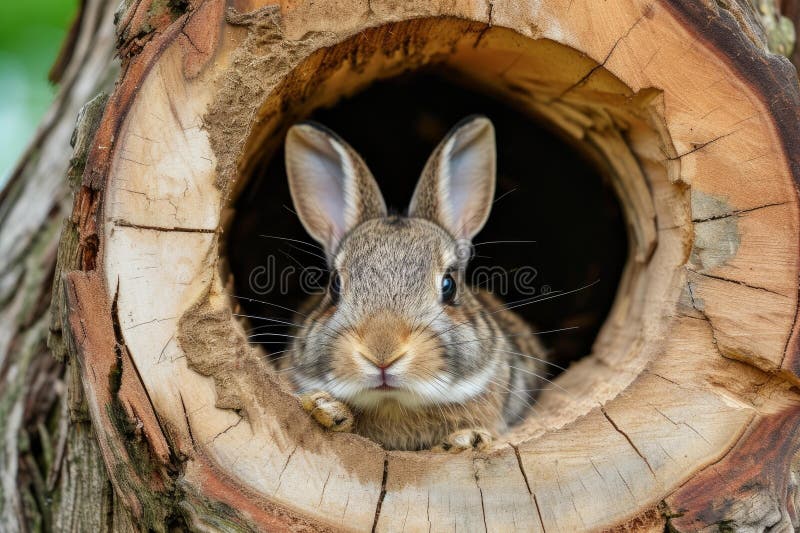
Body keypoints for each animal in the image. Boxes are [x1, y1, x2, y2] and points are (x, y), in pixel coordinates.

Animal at [280, 115, 547, 452]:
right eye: (335, 286)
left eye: (449, 285)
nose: (382, 353)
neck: (393, 404)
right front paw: (326, 409)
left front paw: (468, 439)